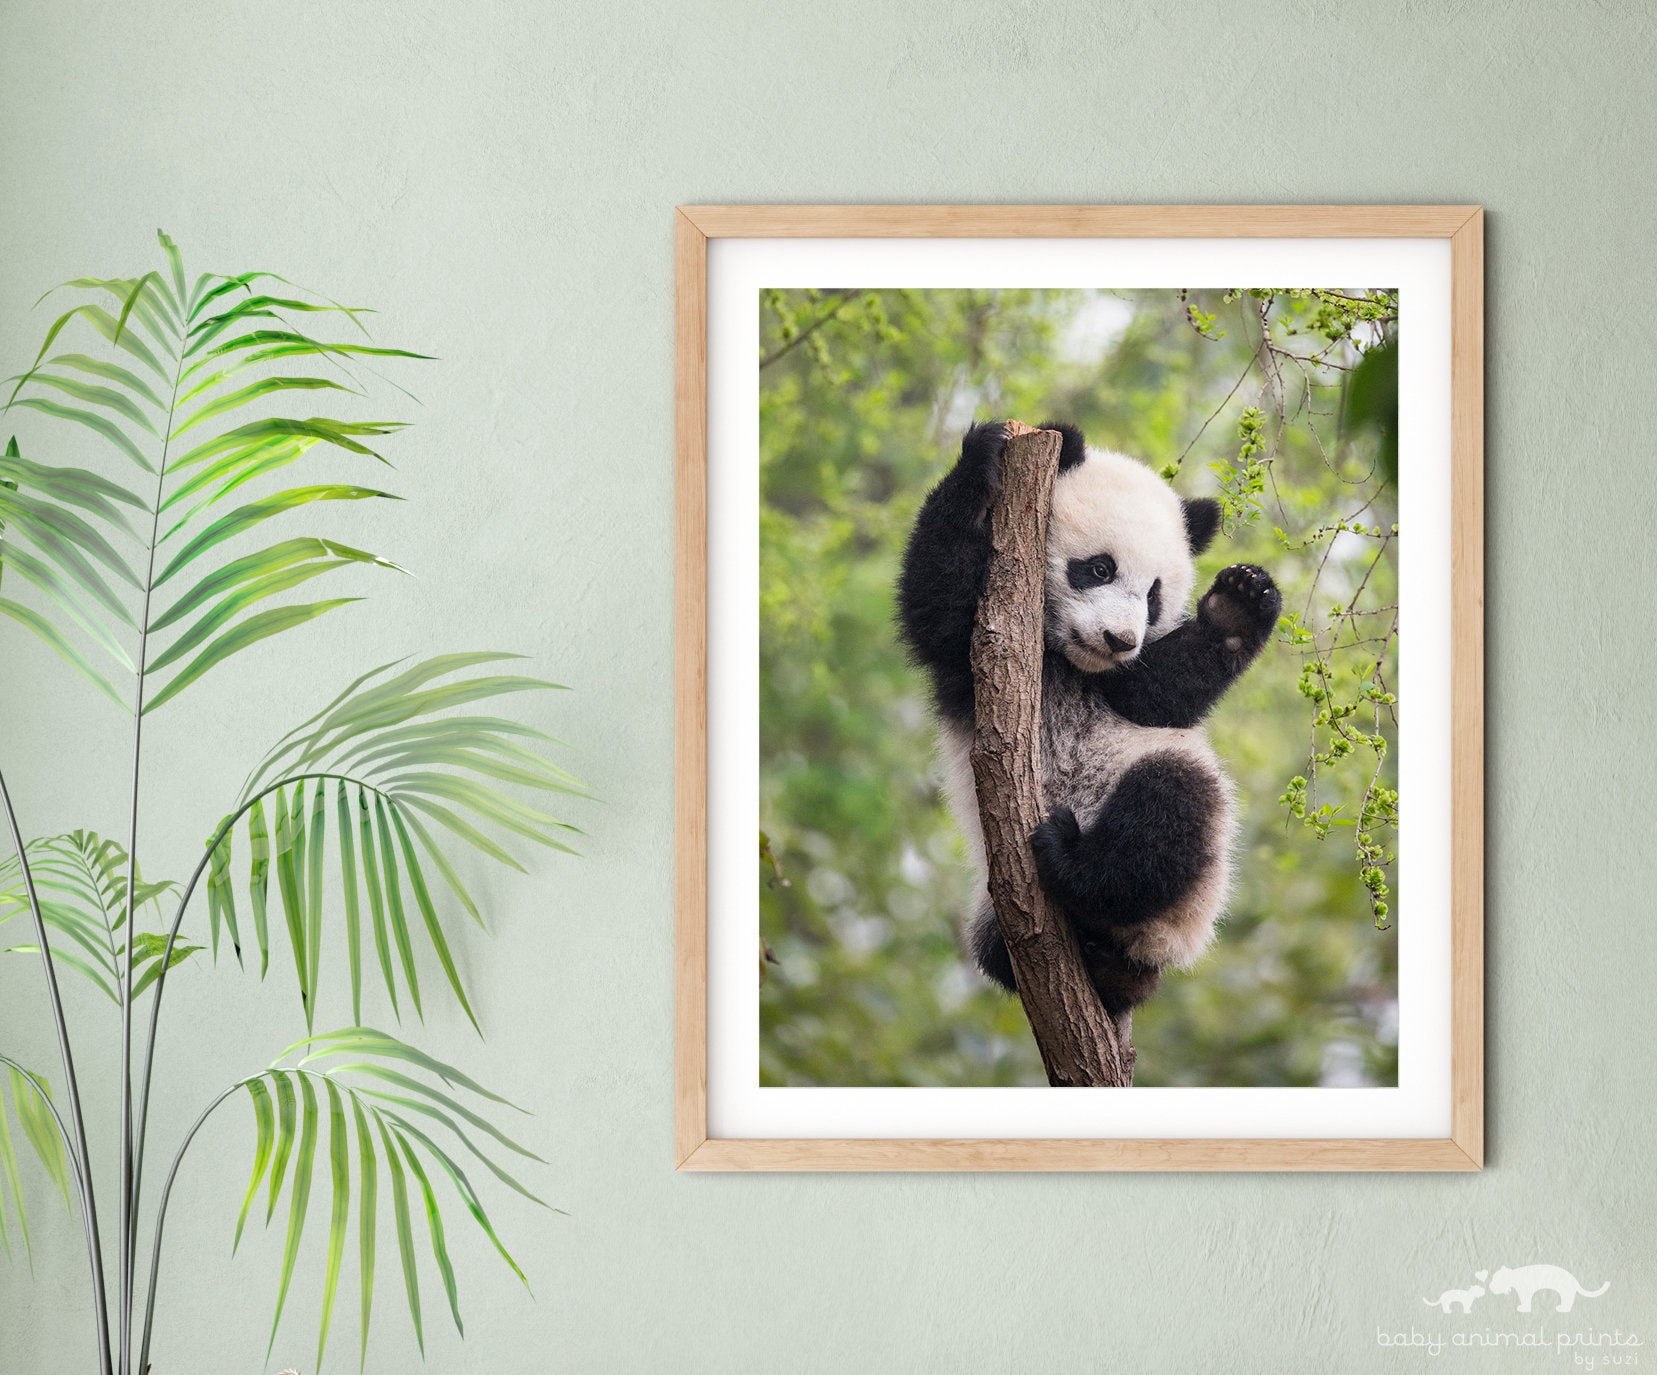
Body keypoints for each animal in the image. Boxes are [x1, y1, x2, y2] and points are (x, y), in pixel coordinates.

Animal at [896, 420, 1281, 1013]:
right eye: (1099, 568)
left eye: (1153, 596)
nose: (1119, 640)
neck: (1066, 659)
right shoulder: (978, 652)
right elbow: (939, 605)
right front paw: (983, 454)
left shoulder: (1127, 685)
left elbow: (1157, 696)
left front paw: (1238, 606)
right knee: (994, 945)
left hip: (1187, 874)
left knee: (1167, 814)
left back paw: (1074, 870)